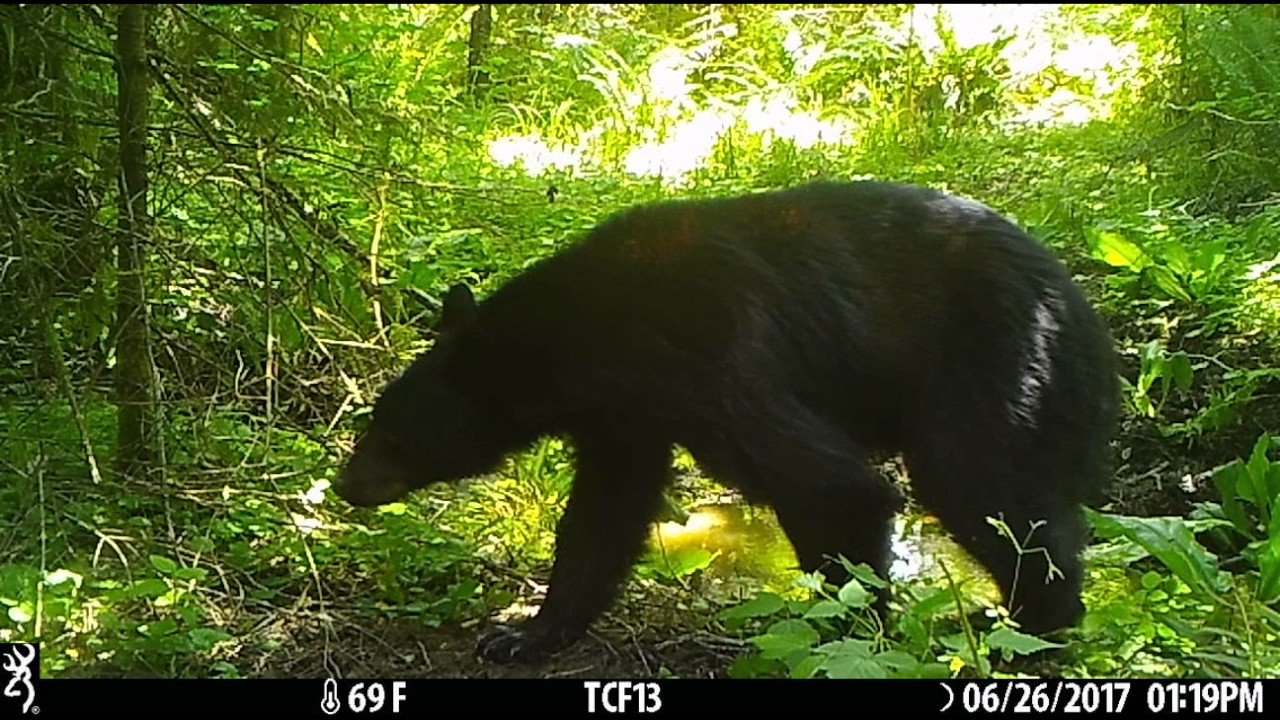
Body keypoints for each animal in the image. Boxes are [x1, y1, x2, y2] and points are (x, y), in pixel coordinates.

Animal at [335, 181, 1120, 664]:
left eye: (390, 430)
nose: (345, 483)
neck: (598, 335)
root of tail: (1090, 323)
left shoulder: (714, 359)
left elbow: (837, 486)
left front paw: (846, 632)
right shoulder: (627, 413)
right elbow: (602, 515)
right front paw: (524, 633)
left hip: (995, 363)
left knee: (983, 487)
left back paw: (1027, 623)